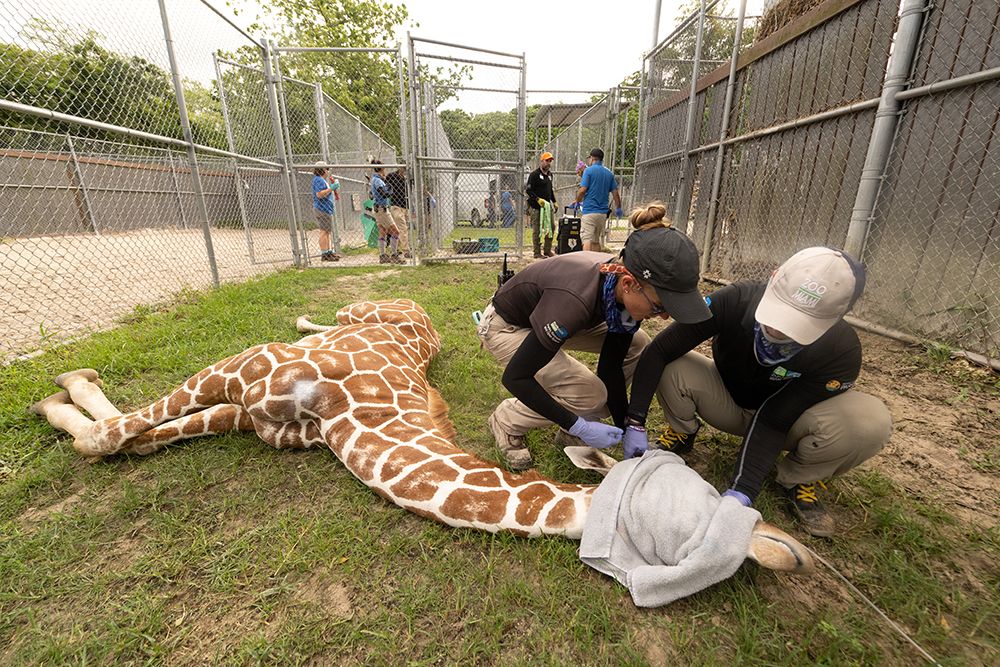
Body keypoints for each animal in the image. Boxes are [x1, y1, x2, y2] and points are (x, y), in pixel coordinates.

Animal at [31, 299, 813, 574]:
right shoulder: (246, 366)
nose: (795, 554)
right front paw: (63, 382)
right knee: (334, 311)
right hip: (351, 316)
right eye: (699, 497)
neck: (351, 414)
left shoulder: (252, 417)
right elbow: (110, 436)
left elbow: (130, 437)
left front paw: (60, 402)